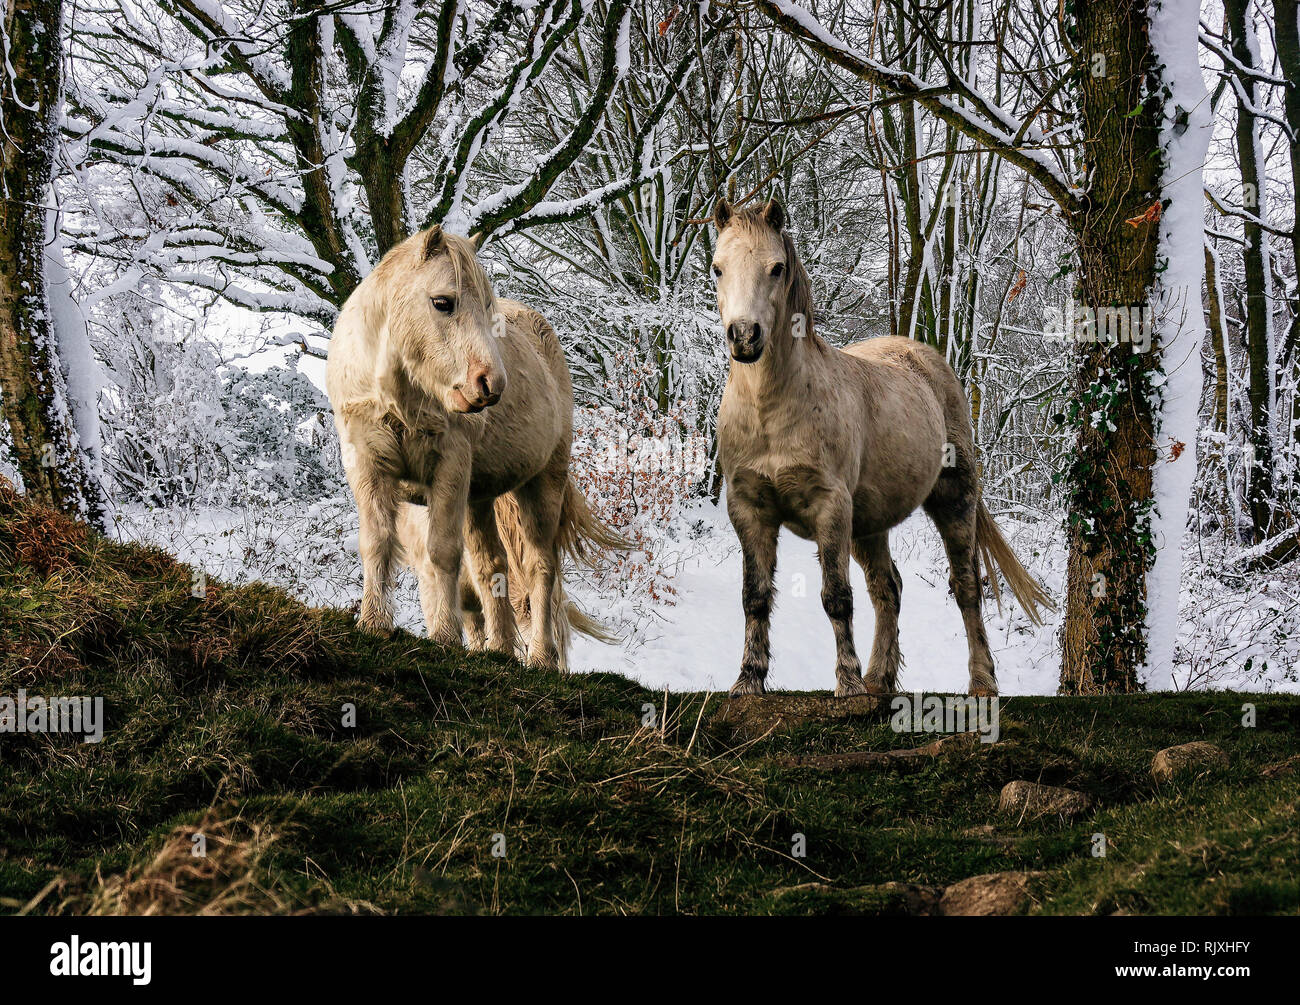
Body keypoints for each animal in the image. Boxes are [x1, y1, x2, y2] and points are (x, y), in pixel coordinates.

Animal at [326, 224, 619, 669]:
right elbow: (377, 542)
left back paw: (540, 657)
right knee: (490, 567)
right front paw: (373, 624)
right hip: (479, 499)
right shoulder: (369, 464)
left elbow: (443, 553)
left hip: (541, 484)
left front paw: (445, 640)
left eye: (486, 307)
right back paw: (499, 652)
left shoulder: (449, 468)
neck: (401, 394)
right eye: (442, 303)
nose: (491, 384)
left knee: (540, 568)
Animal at [710, 198, 1051, 697]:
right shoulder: (749, 509)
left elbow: (836, 597)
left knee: (967, 585)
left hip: (954, 500)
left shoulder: (830, 509)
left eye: (776, 268)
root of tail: (926, 361)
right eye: (718, 268)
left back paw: (980, 681)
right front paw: (748, 681)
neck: (771, 411)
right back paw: (880, 679)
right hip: (869, 524)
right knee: (888, 588)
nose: (744, 336)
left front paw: (848, 684)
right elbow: (754, 597)